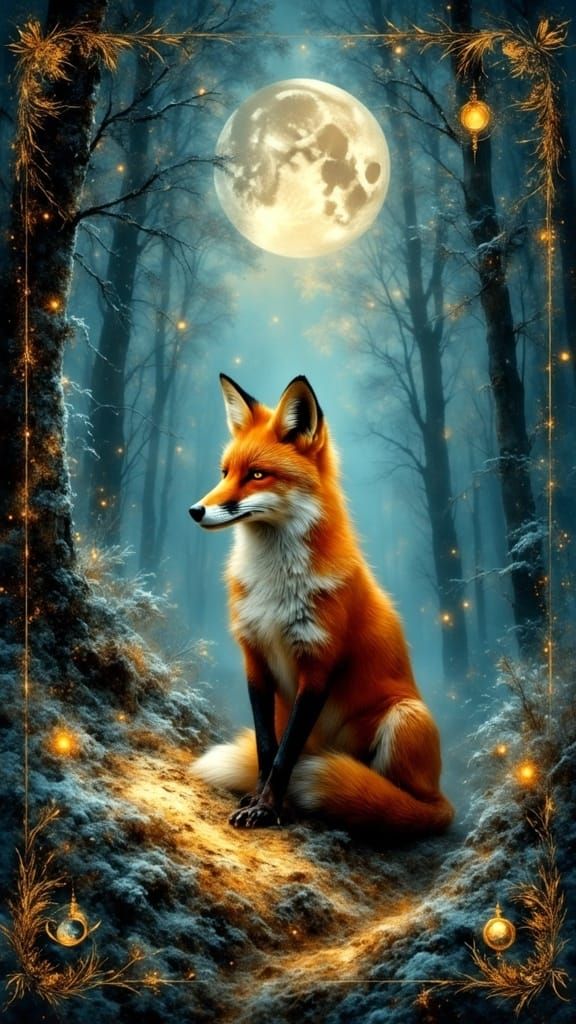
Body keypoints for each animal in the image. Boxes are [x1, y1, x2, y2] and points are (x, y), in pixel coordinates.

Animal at [189, 373, 454, 836]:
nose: (195, 510)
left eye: (257, 475)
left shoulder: (318, 663)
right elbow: (267, 748)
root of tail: (444, 799)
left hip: (407, 718)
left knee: (407, 805)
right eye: (225, 472)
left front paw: (267, 809)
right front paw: (262, 801)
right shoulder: (254, 657)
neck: (275, 588)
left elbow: (284, 756)